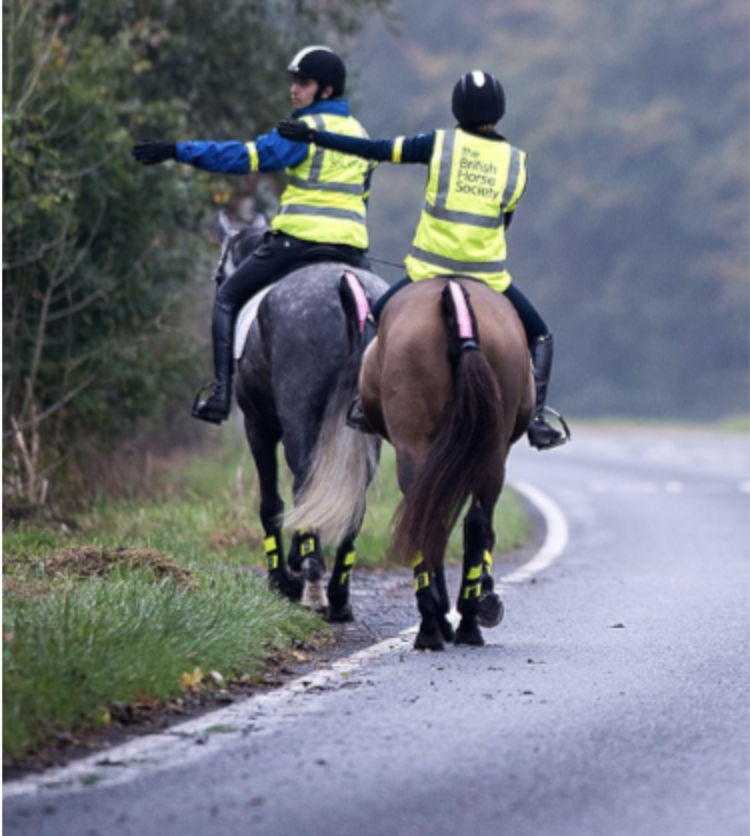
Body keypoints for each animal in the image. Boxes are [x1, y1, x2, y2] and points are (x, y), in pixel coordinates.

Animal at [211, 211, 389, 620]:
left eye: (217, 277)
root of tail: (348, 286)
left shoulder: (258, 427)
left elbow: (272, 502)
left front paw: (282, 578)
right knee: (353, 495)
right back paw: (338, 595)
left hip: (298, 417)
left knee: (305, 476)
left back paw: (311, 578)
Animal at [290, 276, 534, 649]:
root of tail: (455, 297)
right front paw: (477, 602)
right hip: (489, 453)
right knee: (468, 524)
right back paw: (461, 623)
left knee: (431, 519)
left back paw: (437, 626)